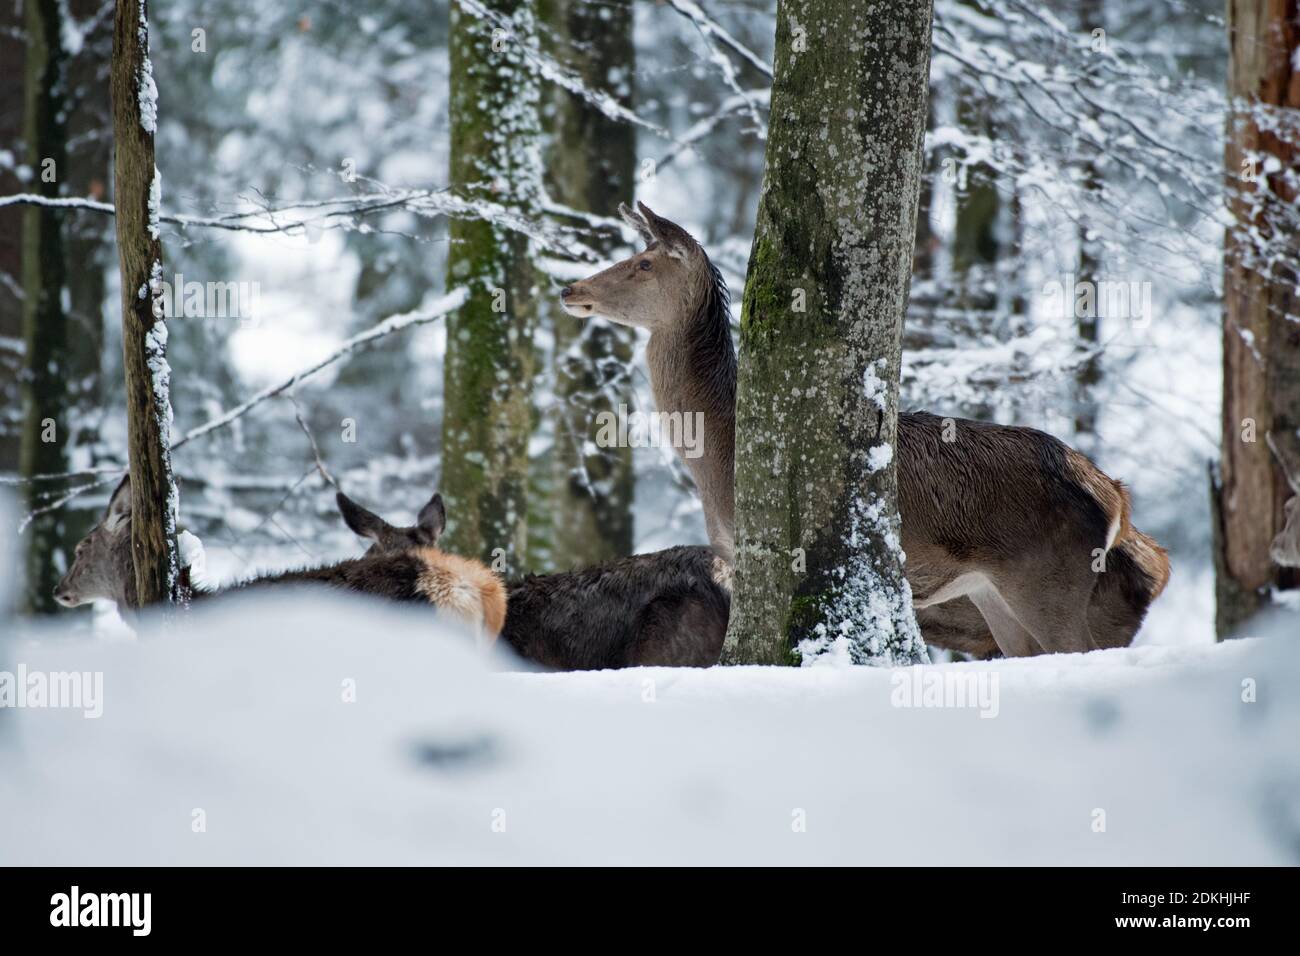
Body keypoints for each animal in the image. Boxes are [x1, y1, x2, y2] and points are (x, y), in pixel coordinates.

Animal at [559, 201, 1171, 658]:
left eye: (645, 262)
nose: (570, 288)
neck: (718, 466)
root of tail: (1115, 497)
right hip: (998, 597)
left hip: (1054, 583)